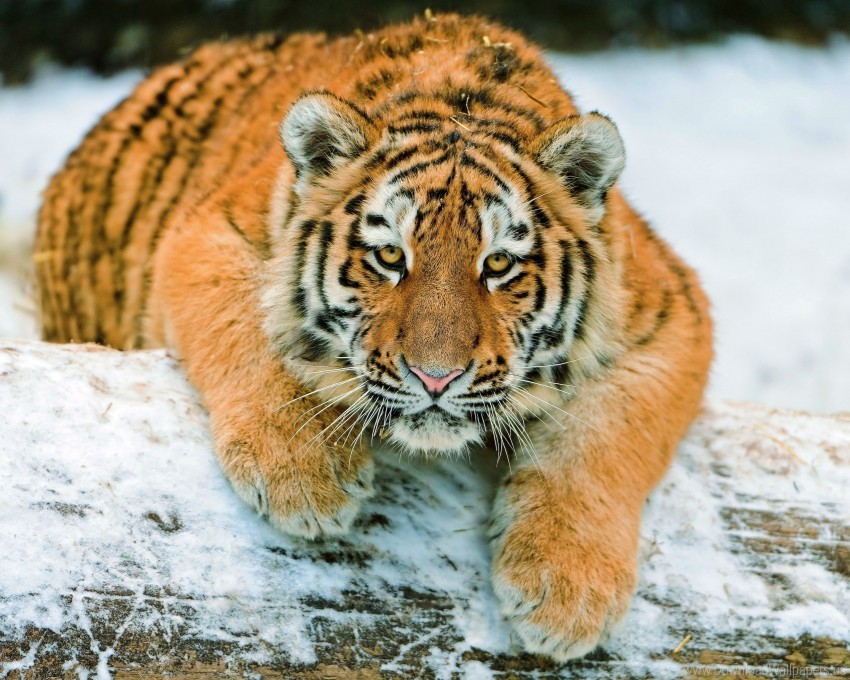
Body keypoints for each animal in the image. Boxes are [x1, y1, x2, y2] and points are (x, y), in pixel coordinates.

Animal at [35, 13, 713, 662]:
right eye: (390, 256)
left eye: (497, 265)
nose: (436, 378)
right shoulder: (209, 231)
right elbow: (253, 333)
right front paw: (303, 477)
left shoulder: (672, 311)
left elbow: (604, 438)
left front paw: (567, 594)